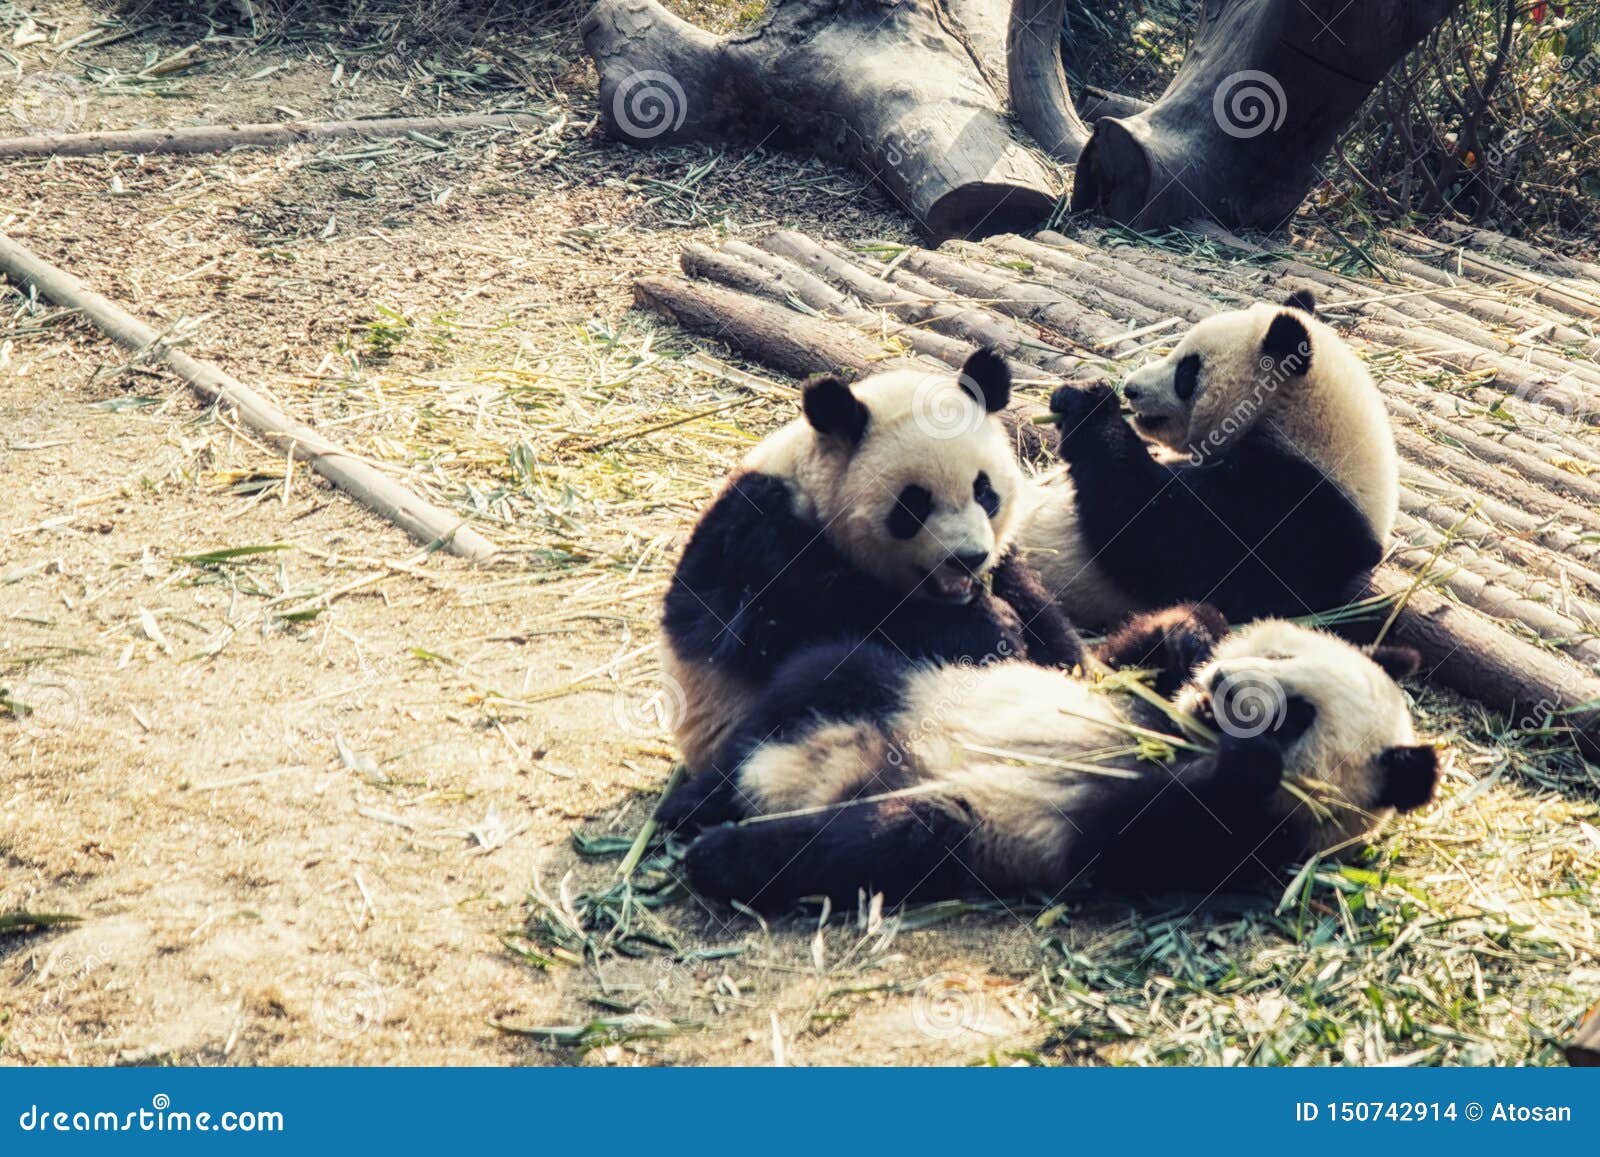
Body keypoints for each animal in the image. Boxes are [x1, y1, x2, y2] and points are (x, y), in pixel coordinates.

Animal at [659, 606, 1438, 910]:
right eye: (1277, 655)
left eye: (1300, 713)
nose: (1223, 686)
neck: (1181, 737)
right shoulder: (1122, 691)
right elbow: (1109, 657)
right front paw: (1192, 637)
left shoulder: (1254, 843)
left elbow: (1156, 835)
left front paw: (1248, 760)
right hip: (909, 688)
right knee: (828, 671)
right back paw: (695, 800)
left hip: (970, 822)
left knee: (884, 838)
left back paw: (721, 852)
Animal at [661, 348, 1083, 770]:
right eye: (913, 505)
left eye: (984, 491)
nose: (967, 557)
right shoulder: (760, 538)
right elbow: (784, 624)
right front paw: (990, 627)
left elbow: (1031, 599)